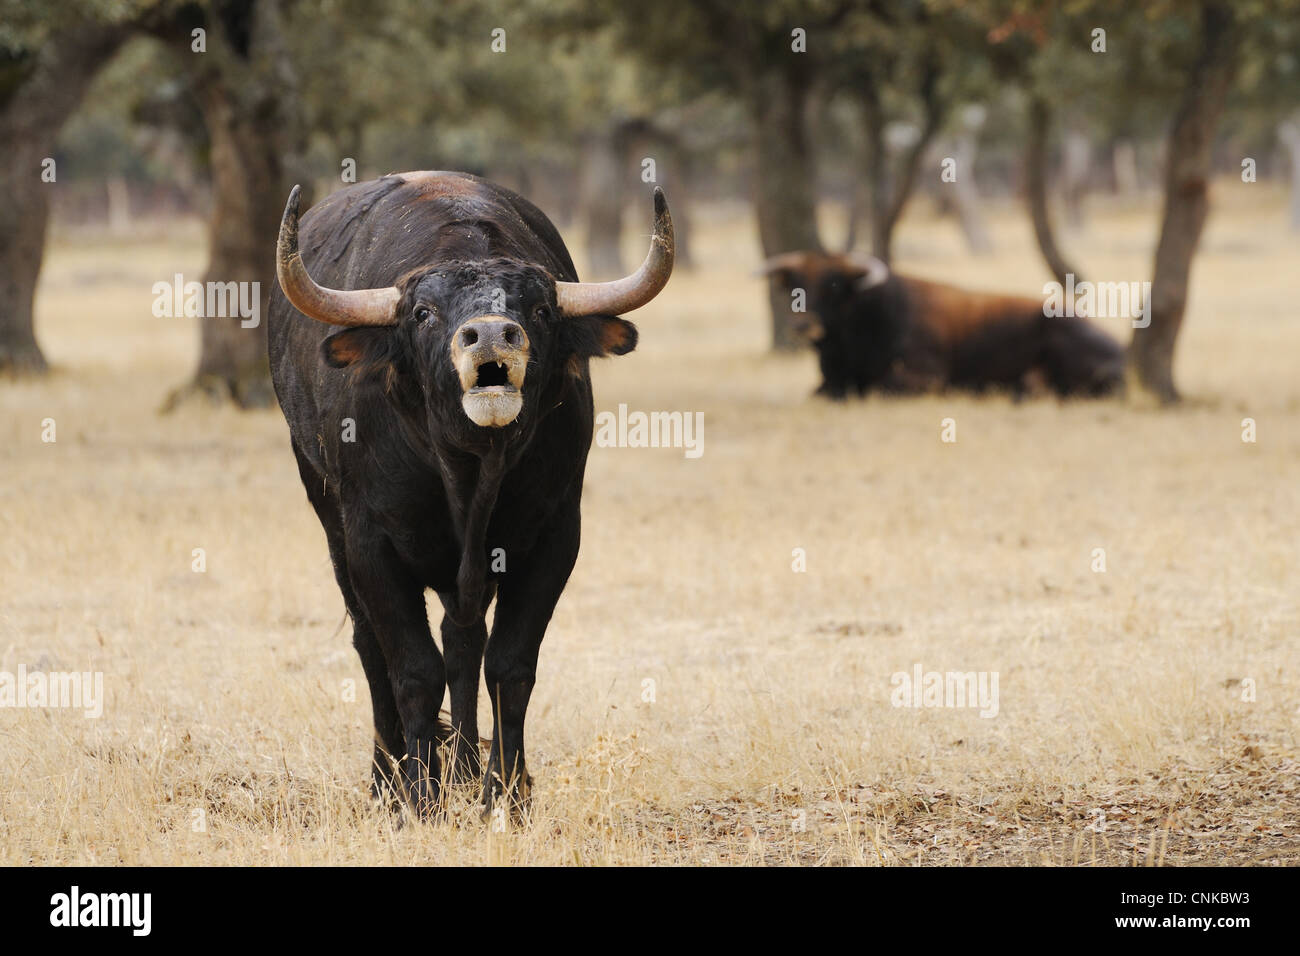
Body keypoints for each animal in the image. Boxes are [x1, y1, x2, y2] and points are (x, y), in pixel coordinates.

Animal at [268, 171, 673, 819]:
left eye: (539, 309)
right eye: (424, 313)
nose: (490, 336)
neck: (470, 475)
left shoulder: (554, 539)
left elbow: (509, 665)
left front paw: (504, 794)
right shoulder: (370, 544)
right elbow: (411, 669)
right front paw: (417, 798)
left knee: (463, 641)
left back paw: (461, 769)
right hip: (330, 524)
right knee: (371, 647)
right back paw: (388, 778)